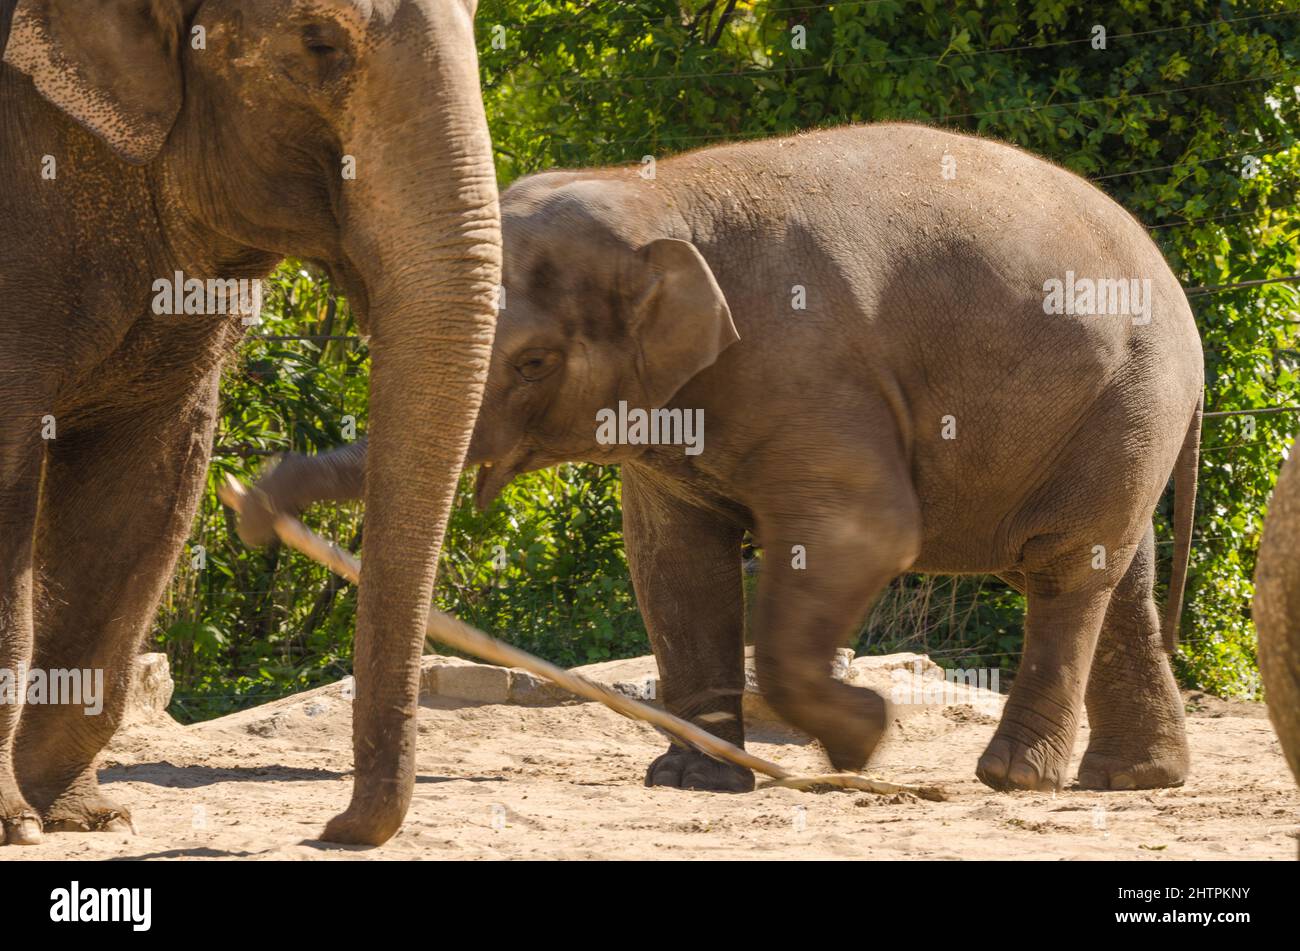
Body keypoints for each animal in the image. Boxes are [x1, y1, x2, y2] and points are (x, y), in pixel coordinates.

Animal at [239, 123, 1203, 795]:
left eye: (534, 362)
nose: (248, 506)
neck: (660, 193)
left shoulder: (809, 365)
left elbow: (863, 533)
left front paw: (862, 737)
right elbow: (673, 559)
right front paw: (691, 778)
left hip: (1124, 401)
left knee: (1065, 568)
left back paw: (1013, 777)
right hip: (1119, 417)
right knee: (1120, 574)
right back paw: (1131, 779)